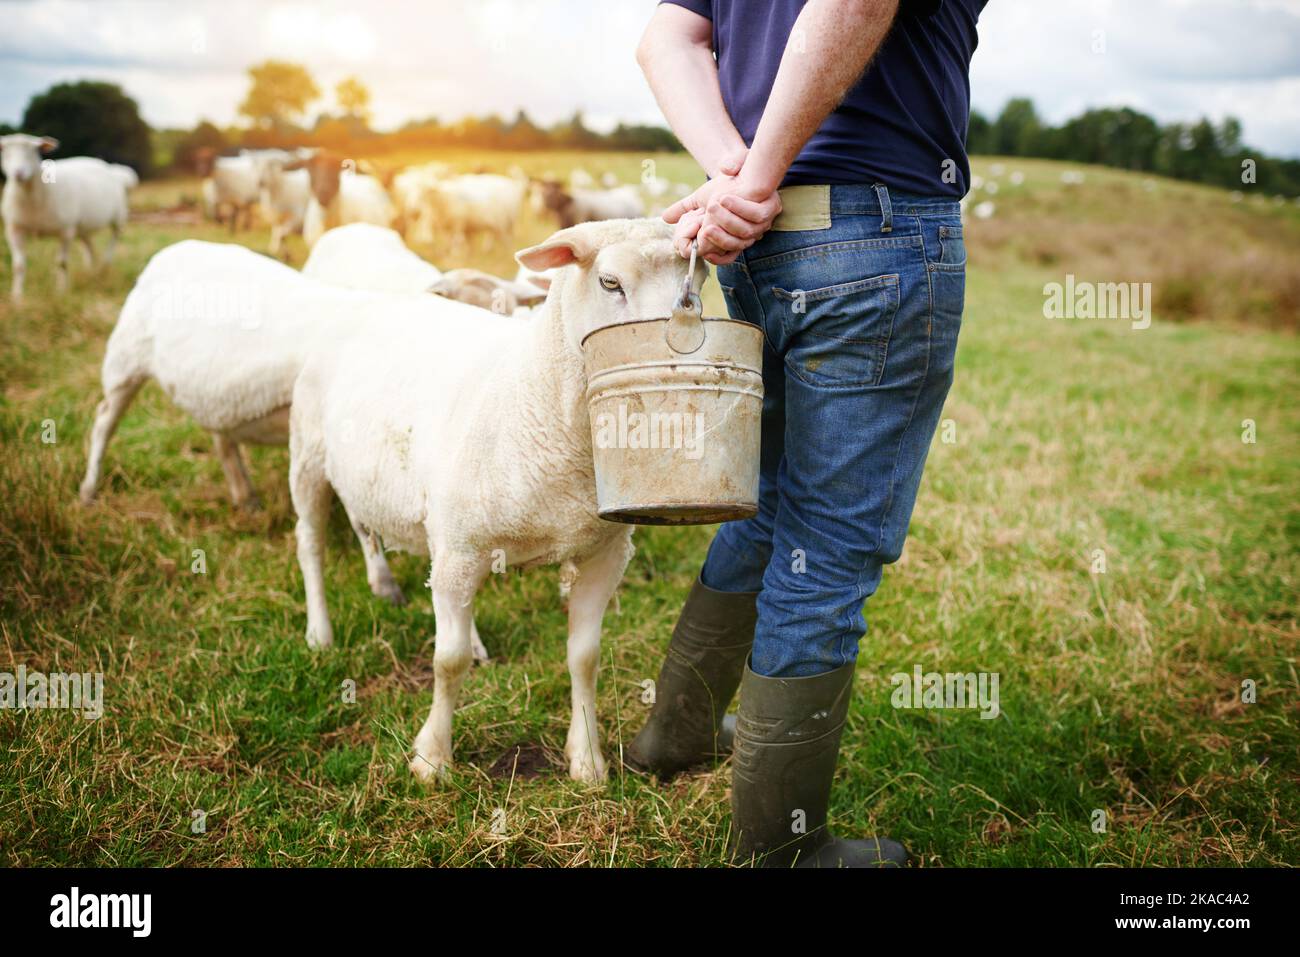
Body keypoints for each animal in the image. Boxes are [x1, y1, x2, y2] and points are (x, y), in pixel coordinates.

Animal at [1, 134, 128, 301]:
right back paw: (89, 271)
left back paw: (105, 266)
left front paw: (61, 292)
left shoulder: (66, 230)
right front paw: (17, 297)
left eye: (33, 151)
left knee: (114, 238)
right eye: (5, 153)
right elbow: (18, 266)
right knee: (89, 247)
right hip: (81, 226)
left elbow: (62, 263)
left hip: (118, 217)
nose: (18, 173)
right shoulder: (14, 229)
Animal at [287, 218, 704, 782]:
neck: (533, 398)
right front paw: (431, 759)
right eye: (610, 282)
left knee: (364, 518)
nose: (677, 362)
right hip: (308, 453)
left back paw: (387, 587)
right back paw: (320, 632)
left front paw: (587, 760)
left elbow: (585, 657)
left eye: (699, 281)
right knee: (310, 544)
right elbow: (448, 662)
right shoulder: (460, 549)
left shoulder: (605, 552)